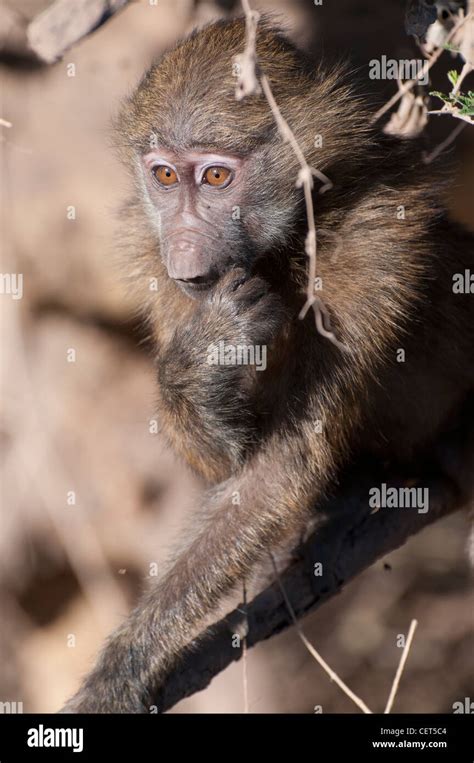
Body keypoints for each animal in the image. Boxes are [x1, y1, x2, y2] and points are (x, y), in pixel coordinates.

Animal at [62, 17, 474, 712]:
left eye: (216, 178)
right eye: (165, 176)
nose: (185, 249)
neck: (280, 250)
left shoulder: (368, 255)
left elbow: (277, 470)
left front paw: (121, 668)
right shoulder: (158, 265)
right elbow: (230, 465)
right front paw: (204, 360)